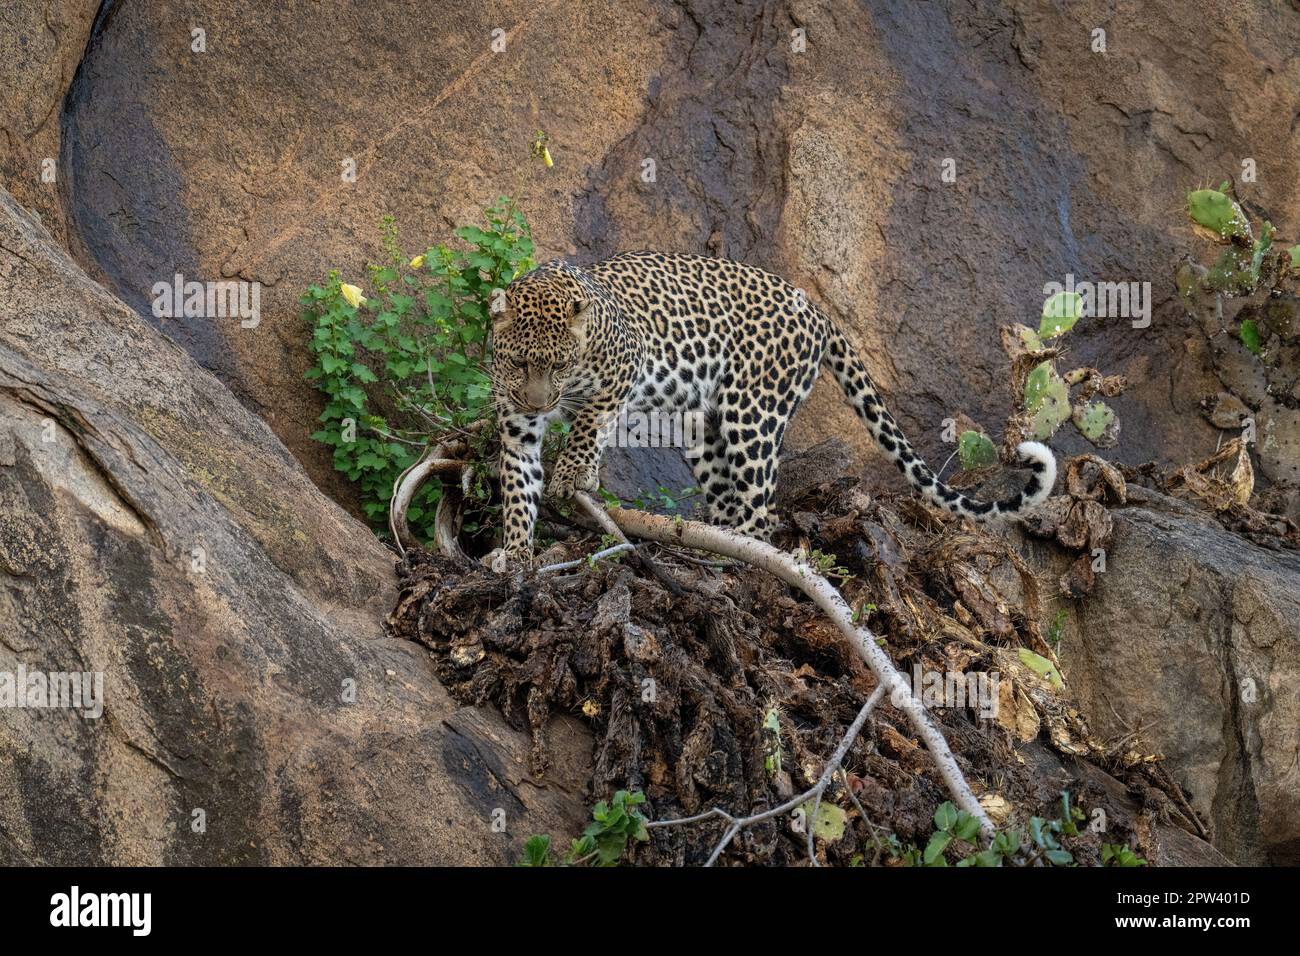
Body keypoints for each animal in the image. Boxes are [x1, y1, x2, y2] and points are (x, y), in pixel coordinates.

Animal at [487, 251, 1056, 559]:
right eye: (517, 362)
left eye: (560, 364)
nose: (539, 400)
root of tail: (818, 310)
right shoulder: (518, 426)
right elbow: (517, 487)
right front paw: (514, 554)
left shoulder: (624, 368)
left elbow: (587, 423)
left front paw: (572, 476)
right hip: (703, 424)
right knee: (727, 494)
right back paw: (711, 539)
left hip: (753, 412)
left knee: (764, 515)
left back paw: (740, 552)